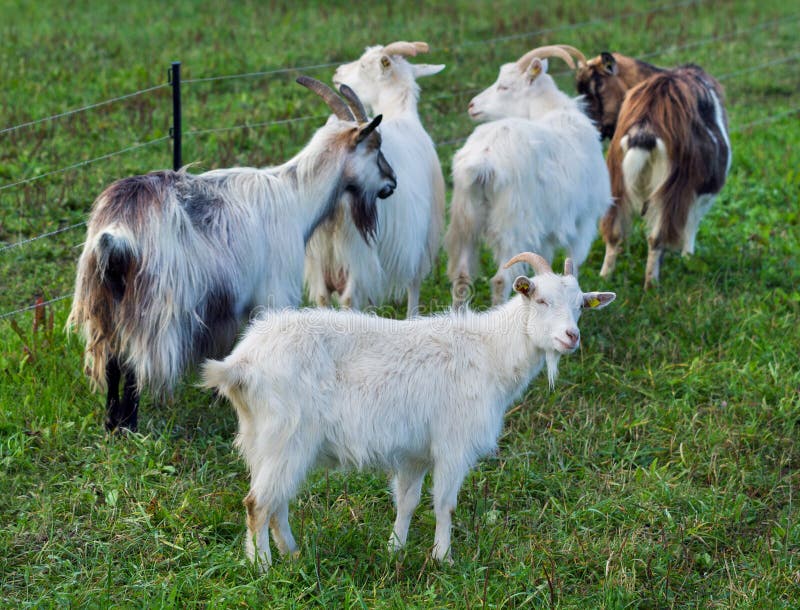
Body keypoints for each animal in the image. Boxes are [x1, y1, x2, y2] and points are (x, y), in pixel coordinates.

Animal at [67, 77, 396, 432]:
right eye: (376, 146)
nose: (392, 182)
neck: (295, 197)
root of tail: (115, 231)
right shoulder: (275, 292)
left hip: (103, 299)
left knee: (112, 360)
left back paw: (111, 423)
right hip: (152, 308)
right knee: (130, 361)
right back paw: (128, 424)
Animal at [201, 252, 615, 569]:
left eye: (580, 306)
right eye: (540, 300)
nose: (571, 337)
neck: (490, 351)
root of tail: (241, 363)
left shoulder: (414, 452)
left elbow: (407, 501)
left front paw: (395, 548)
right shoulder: (453, 444)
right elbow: (445, 504)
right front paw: (443, 558)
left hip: (264, 441)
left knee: (276, 501)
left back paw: (292, 553)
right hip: (287, 437)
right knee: (258, 503)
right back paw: (264, 566)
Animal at [304, 41, 446, 316]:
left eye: (363, 64)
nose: (337, 72)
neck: (400, 114)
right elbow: (413, 286)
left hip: (324, 260)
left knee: (324, 299)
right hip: (357, 254)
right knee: (349, 300)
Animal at [445, 45, 611, 309]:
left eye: (504, 86)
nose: (471, 106)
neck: (553, 111)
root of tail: (483, 160)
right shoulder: (582, 221)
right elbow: (573, 263)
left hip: (465, 219)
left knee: (461, 277)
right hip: (514, 224)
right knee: (500, 280)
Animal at [570, 49, 731, 287]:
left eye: (594, 90)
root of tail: (644, 127)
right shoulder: (700, 191)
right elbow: (692, 222)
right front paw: (688, 257)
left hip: (615, 178)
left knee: (614, 231)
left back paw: (605, 278)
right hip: (673, 188)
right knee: (656, 237)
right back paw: (651, 285)